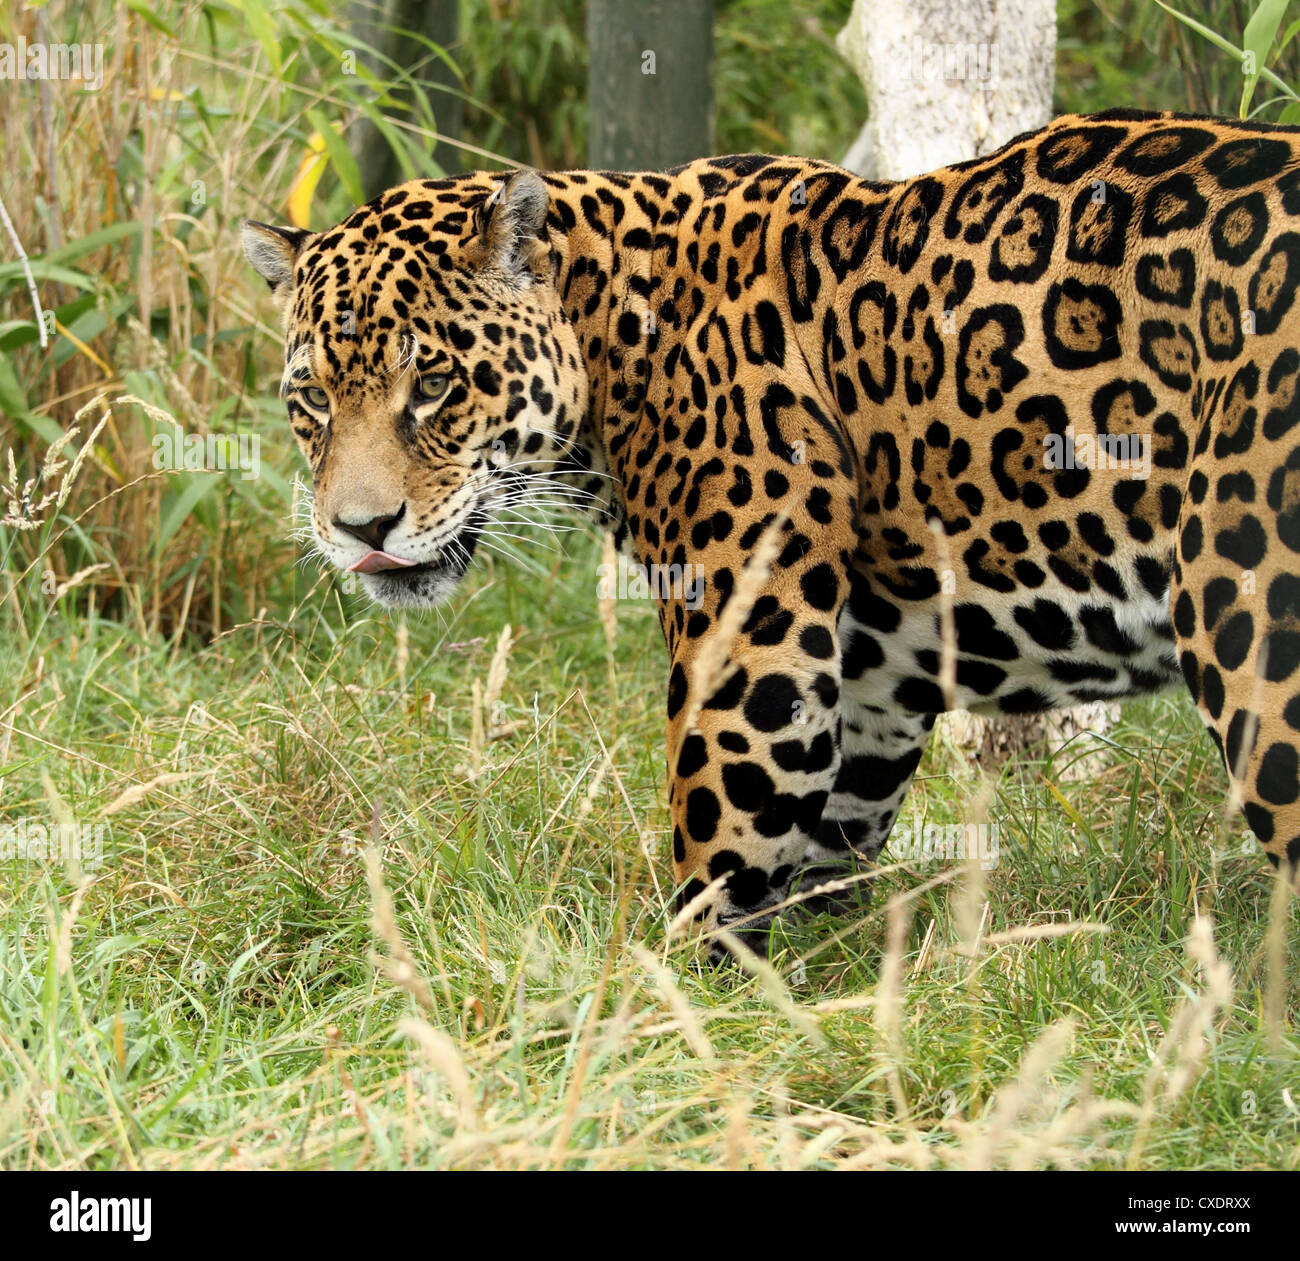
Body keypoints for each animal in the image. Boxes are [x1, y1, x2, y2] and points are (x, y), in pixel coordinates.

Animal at [244, 109, 1300, 958]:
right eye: (313, 399)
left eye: (433, 383)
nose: (361, 527)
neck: (612, 326)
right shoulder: (874, 666)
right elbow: (832, 832)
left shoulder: (750, 640)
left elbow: (722, 839)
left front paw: (659, 1006)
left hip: (1255, 644)